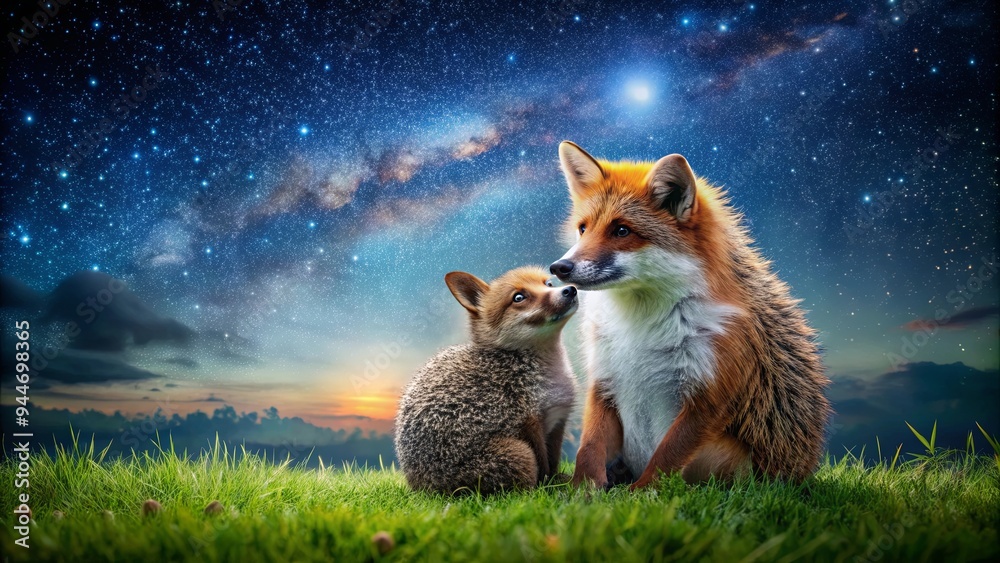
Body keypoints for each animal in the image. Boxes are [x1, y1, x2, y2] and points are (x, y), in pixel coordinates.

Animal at [394, 267, 578, 494]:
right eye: (519, 297)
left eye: (549, 284)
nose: (570, 290)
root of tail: (417, 484)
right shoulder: (527, 423)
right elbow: (543, 469)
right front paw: (551, 489)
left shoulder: (558, 420)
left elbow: (552, 464)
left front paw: (559, 481)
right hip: (520, 455)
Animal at [549, 141, 831, 490]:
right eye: (583, 229)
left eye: (622, 230)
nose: (559, 268)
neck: (638, 328)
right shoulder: (604, 382)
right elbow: (588, 449)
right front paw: (583, 491)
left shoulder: (709, 397)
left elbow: (666, 457)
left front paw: (641, 493)